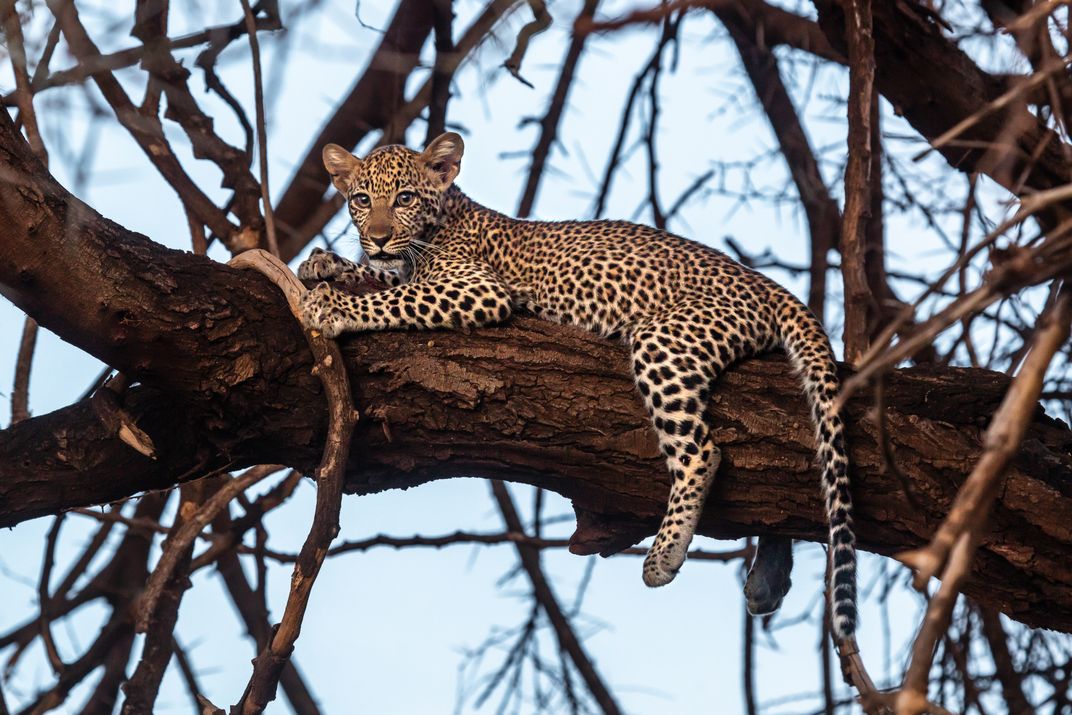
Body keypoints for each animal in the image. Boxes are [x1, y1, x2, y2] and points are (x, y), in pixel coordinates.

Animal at [297, 132, 858, 644]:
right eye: (361, 199)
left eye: (405, 198)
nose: (378, 237)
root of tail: (772, 287)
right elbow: (381, 279)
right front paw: (323, 262)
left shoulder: (476, 289)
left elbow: (392, 300)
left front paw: (330, 305)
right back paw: (768, 578)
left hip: (664, 340)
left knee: (701, 453)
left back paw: (664, 555)